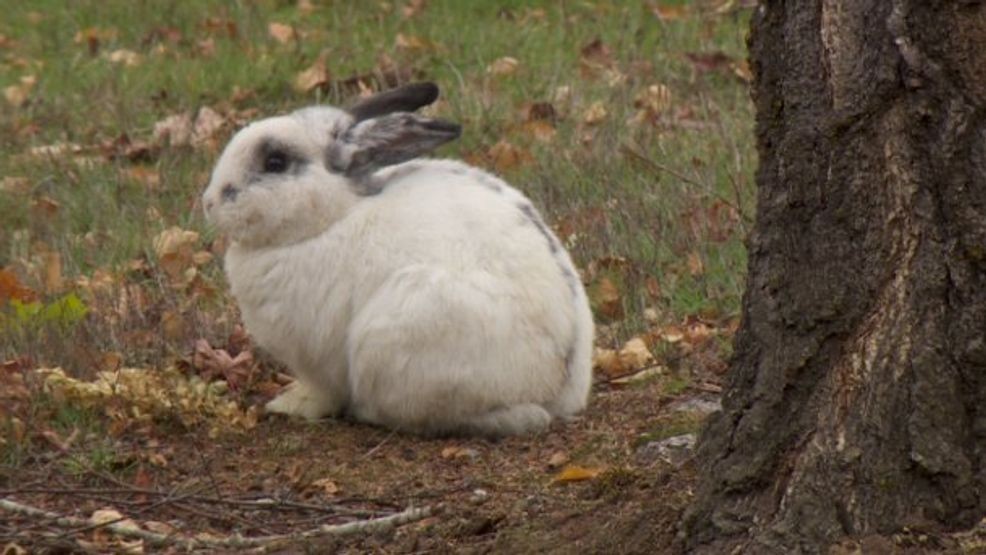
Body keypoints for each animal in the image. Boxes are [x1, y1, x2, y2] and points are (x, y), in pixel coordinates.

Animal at [202, 82, 594, 437]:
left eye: (275, 162)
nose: (209, 202)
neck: (334, 216)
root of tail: (563, 387)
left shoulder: (318, 365)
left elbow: (322, 393)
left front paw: (288, 406)